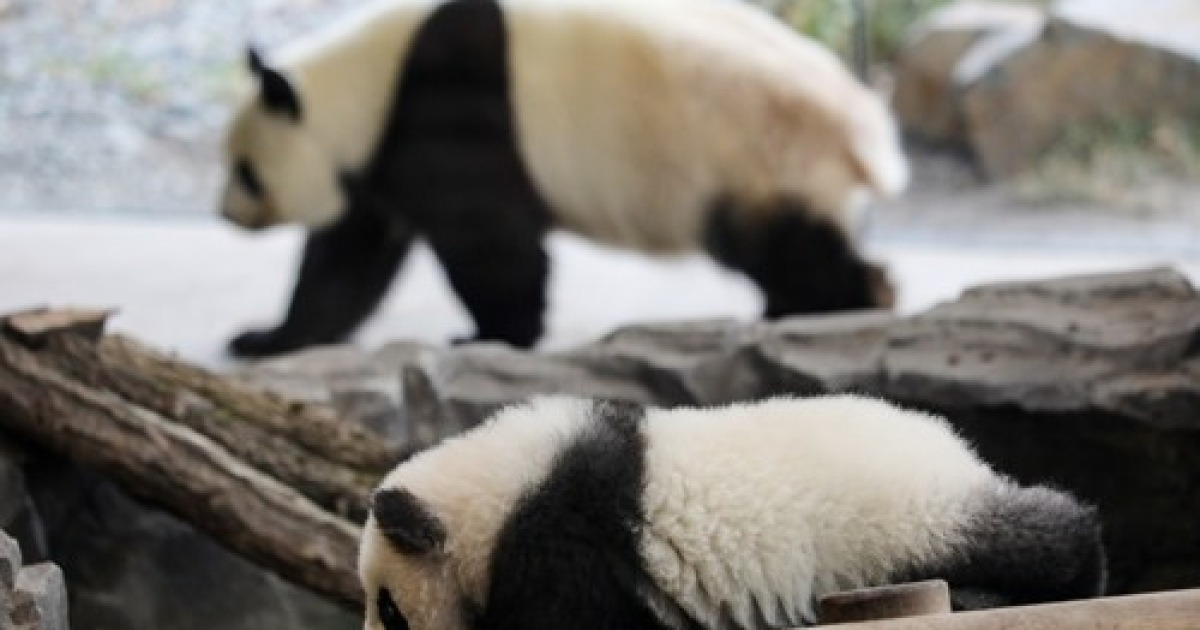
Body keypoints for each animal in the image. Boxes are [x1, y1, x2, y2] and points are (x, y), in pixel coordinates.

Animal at [220, 0, 910, 358]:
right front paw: (266, 338)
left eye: (246, 173)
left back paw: (845, 300)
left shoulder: (449, 102)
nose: (228, 213)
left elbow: (487, 239)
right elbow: (348, 258)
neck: (363, 84)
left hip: (750, 154)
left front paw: (488, 336)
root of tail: (866, 128)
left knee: (779, 242)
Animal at [358, 395, 1106, 630]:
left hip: (904, 514)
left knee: (1024, 532)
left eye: (389, 609)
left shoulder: (561, 546)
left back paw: (1078, 571)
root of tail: (953, 444)